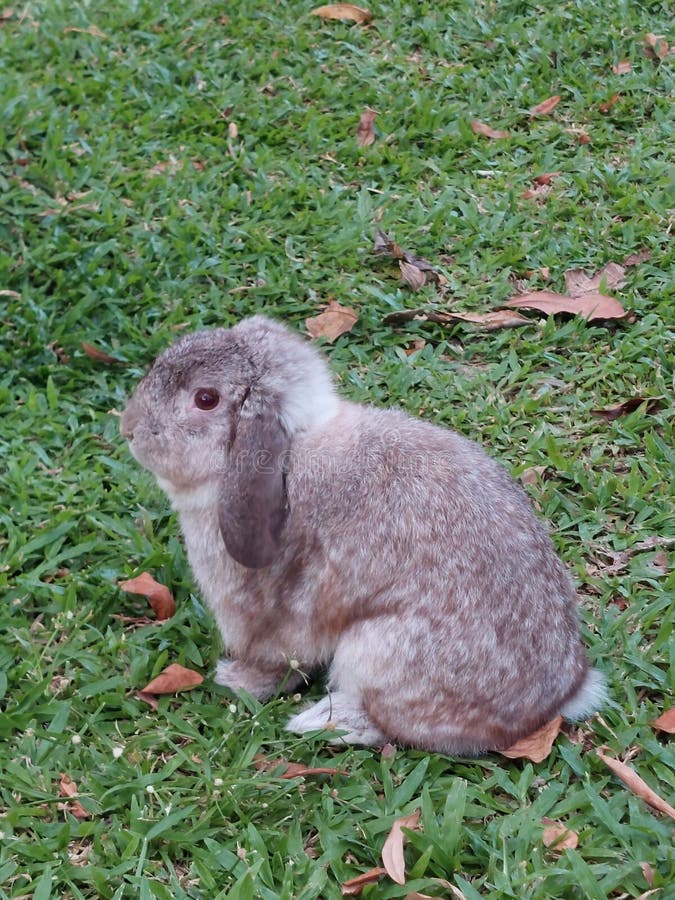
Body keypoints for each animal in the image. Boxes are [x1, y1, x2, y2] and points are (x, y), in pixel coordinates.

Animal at [120, 314, 606, 754]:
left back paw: (325, 722)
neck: (292, 447)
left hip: (376, 651)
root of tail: (559, 697)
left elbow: (277, 661)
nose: (129, 428)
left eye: (206, 399)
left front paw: (235, 680)